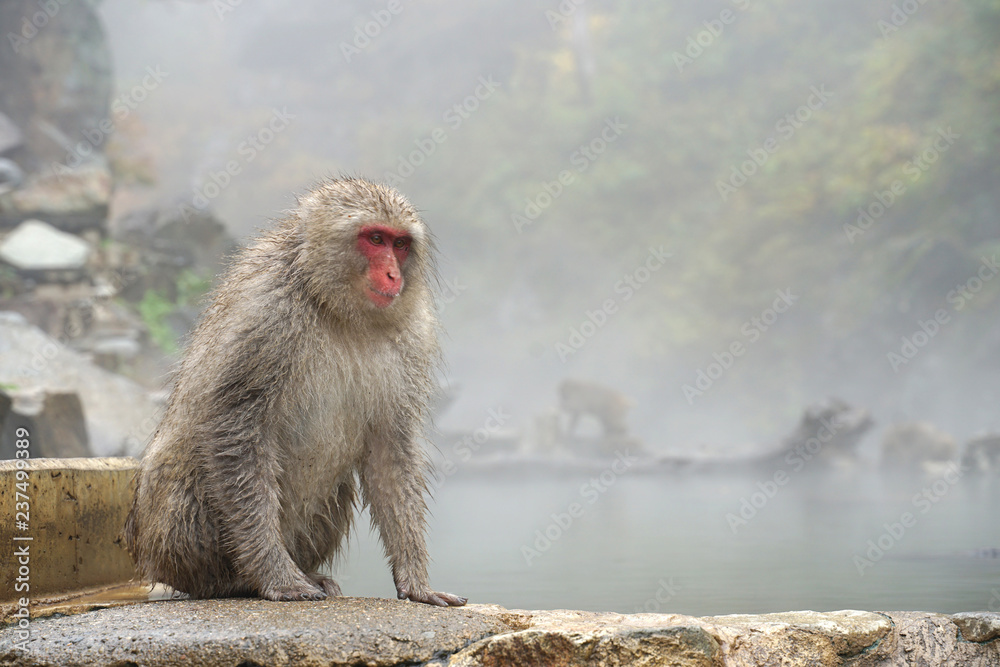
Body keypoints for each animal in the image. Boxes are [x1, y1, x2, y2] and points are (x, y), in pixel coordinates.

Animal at [123, 177, 466, 607]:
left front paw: (416, 582)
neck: (333, 306)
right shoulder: (266, 312)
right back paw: (233, 581)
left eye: (400, 244)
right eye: (375, 239)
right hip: (170, 540)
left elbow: (390, 448)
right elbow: (234, 429)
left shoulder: (413, 336)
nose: (392, 274)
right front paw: (276, 575)